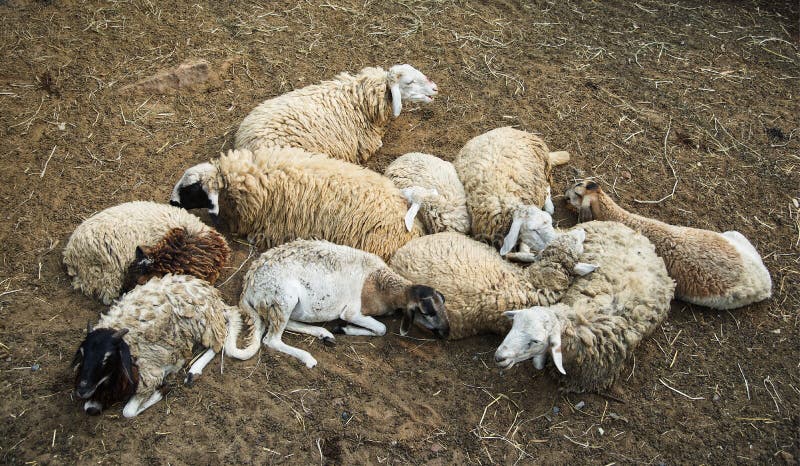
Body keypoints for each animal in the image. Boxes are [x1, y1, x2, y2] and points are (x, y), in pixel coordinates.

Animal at [71, 274, 264, 418]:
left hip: (205, 324)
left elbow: (128, 411)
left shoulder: (150, 375)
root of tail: (211, 294)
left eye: (107, 358)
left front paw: (161, 390)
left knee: (220, 340)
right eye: (83, 353)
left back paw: (193, 371)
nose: (81, 390)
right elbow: (90, 408)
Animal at [240, 239, 448, 368]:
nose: (447, 333)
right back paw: (308, 357)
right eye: (427, 312)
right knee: (272, 340)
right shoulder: (352, 312)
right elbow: (381, 329)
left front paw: (340, 330)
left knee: (289, 324)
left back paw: (324, 334)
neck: (380, 282)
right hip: (283, 298)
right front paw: (344, 328)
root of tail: (249, 285)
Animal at [452, 127, 570, 255]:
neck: (505, 204)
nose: (557, 243)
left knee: (547, 187)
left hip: (543, 168)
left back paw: (549, 206)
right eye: (534, 230)